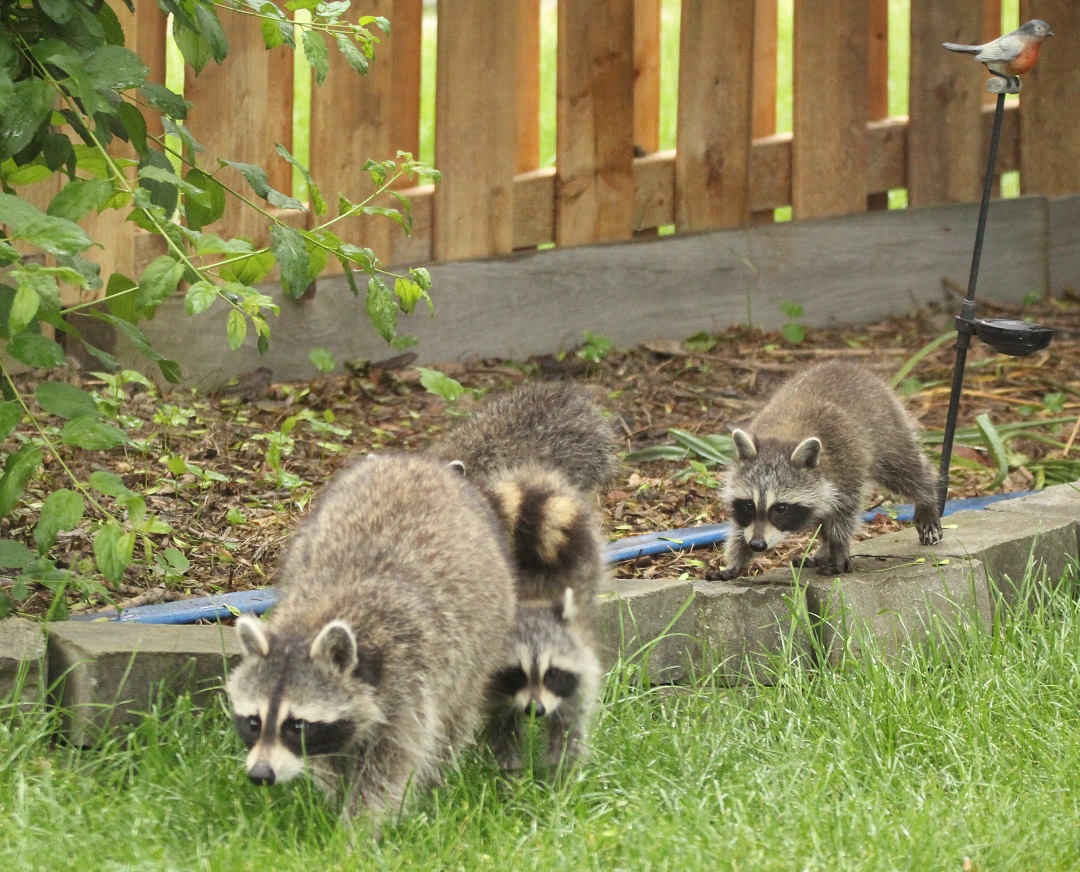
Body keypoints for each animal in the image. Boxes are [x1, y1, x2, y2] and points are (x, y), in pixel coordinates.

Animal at [225, 453, 516, 825]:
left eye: (297, 725)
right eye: (253, 721)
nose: (261, 775)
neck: (310, 624)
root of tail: (412, 461)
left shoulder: (409, 681)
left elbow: (392, 764)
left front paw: (358, 825)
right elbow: (333, 758)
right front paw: (334, 796)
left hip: (483, 637)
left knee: (456, 713)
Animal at [482, 465, 605, 770]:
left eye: (552, 673)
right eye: (517, 673)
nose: (535, 709)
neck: (531, 603)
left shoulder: (579, 673)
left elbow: (570, 728)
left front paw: (562, 775)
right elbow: (501, 728)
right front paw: (508, 771)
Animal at [717, 360, 942, 580]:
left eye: (781, 508)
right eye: (749, 505)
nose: (757, 545)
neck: (783, 437)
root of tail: (846, 364)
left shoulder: (846, 473)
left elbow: (844, 518)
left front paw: (839, 549)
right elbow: (740, 527)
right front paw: (738, 558)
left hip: (887, 432)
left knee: (905, 470)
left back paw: (927, 497)